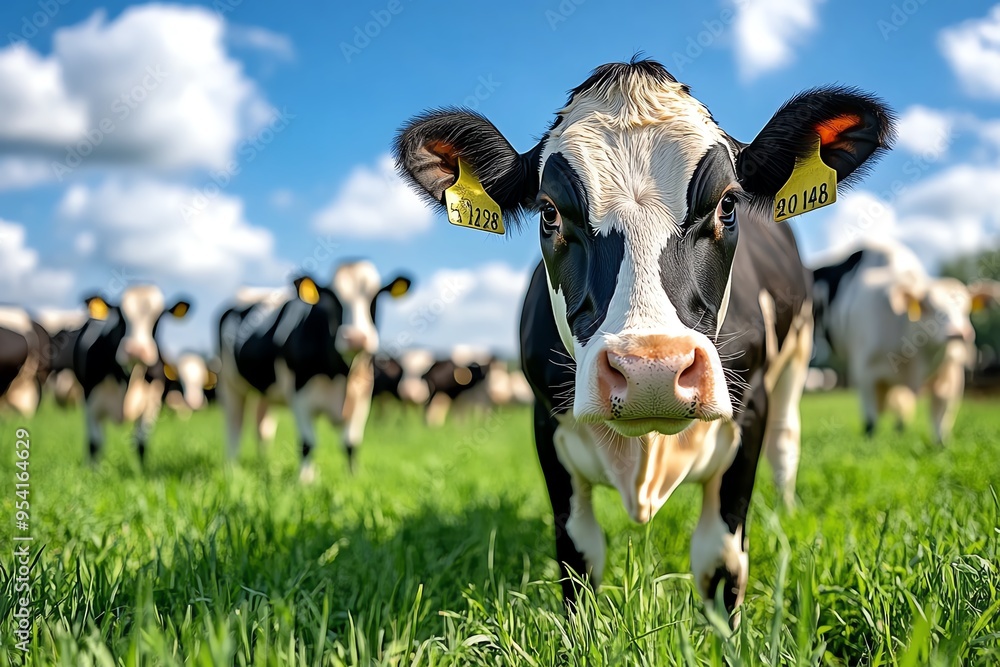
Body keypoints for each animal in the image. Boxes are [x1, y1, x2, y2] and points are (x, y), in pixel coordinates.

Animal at [73, 286, 191, 462]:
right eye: (120, 314)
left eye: (159, 317)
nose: (136, 350)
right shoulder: (91, 402)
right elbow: (94, 445)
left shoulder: (151, 404)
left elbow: (141, 444)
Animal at [218, 260, 411, 480]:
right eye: (333, 298)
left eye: (375, 295)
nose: (355, 338)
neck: (342, 375)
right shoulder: (300, 398)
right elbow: (307, 443)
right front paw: (305, 480)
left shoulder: (362, 399)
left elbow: (351, 443)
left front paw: (352, 476)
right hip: (230, 384)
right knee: (234, 426)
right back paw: (232, 468)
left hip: (265, 390)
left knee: (262, 428)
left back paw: (263, 462)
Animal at [395, 59, 893, 617]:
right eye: (549, 212)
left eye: (728, 205)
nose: (651, 370)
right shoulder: (545, 423)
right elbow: (578, 558)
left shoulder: (751, 410)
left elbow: (721, 562)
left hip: (797, 353)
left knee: (787, 440)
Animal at [812, 240, 1000, 443]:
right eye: (927, 307)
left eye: (966, 309)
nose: (959, 333)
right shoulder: (866, 374)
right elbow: (871, 421)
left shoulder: (951, 377)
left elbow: (940, 423)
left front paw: (941, 446)